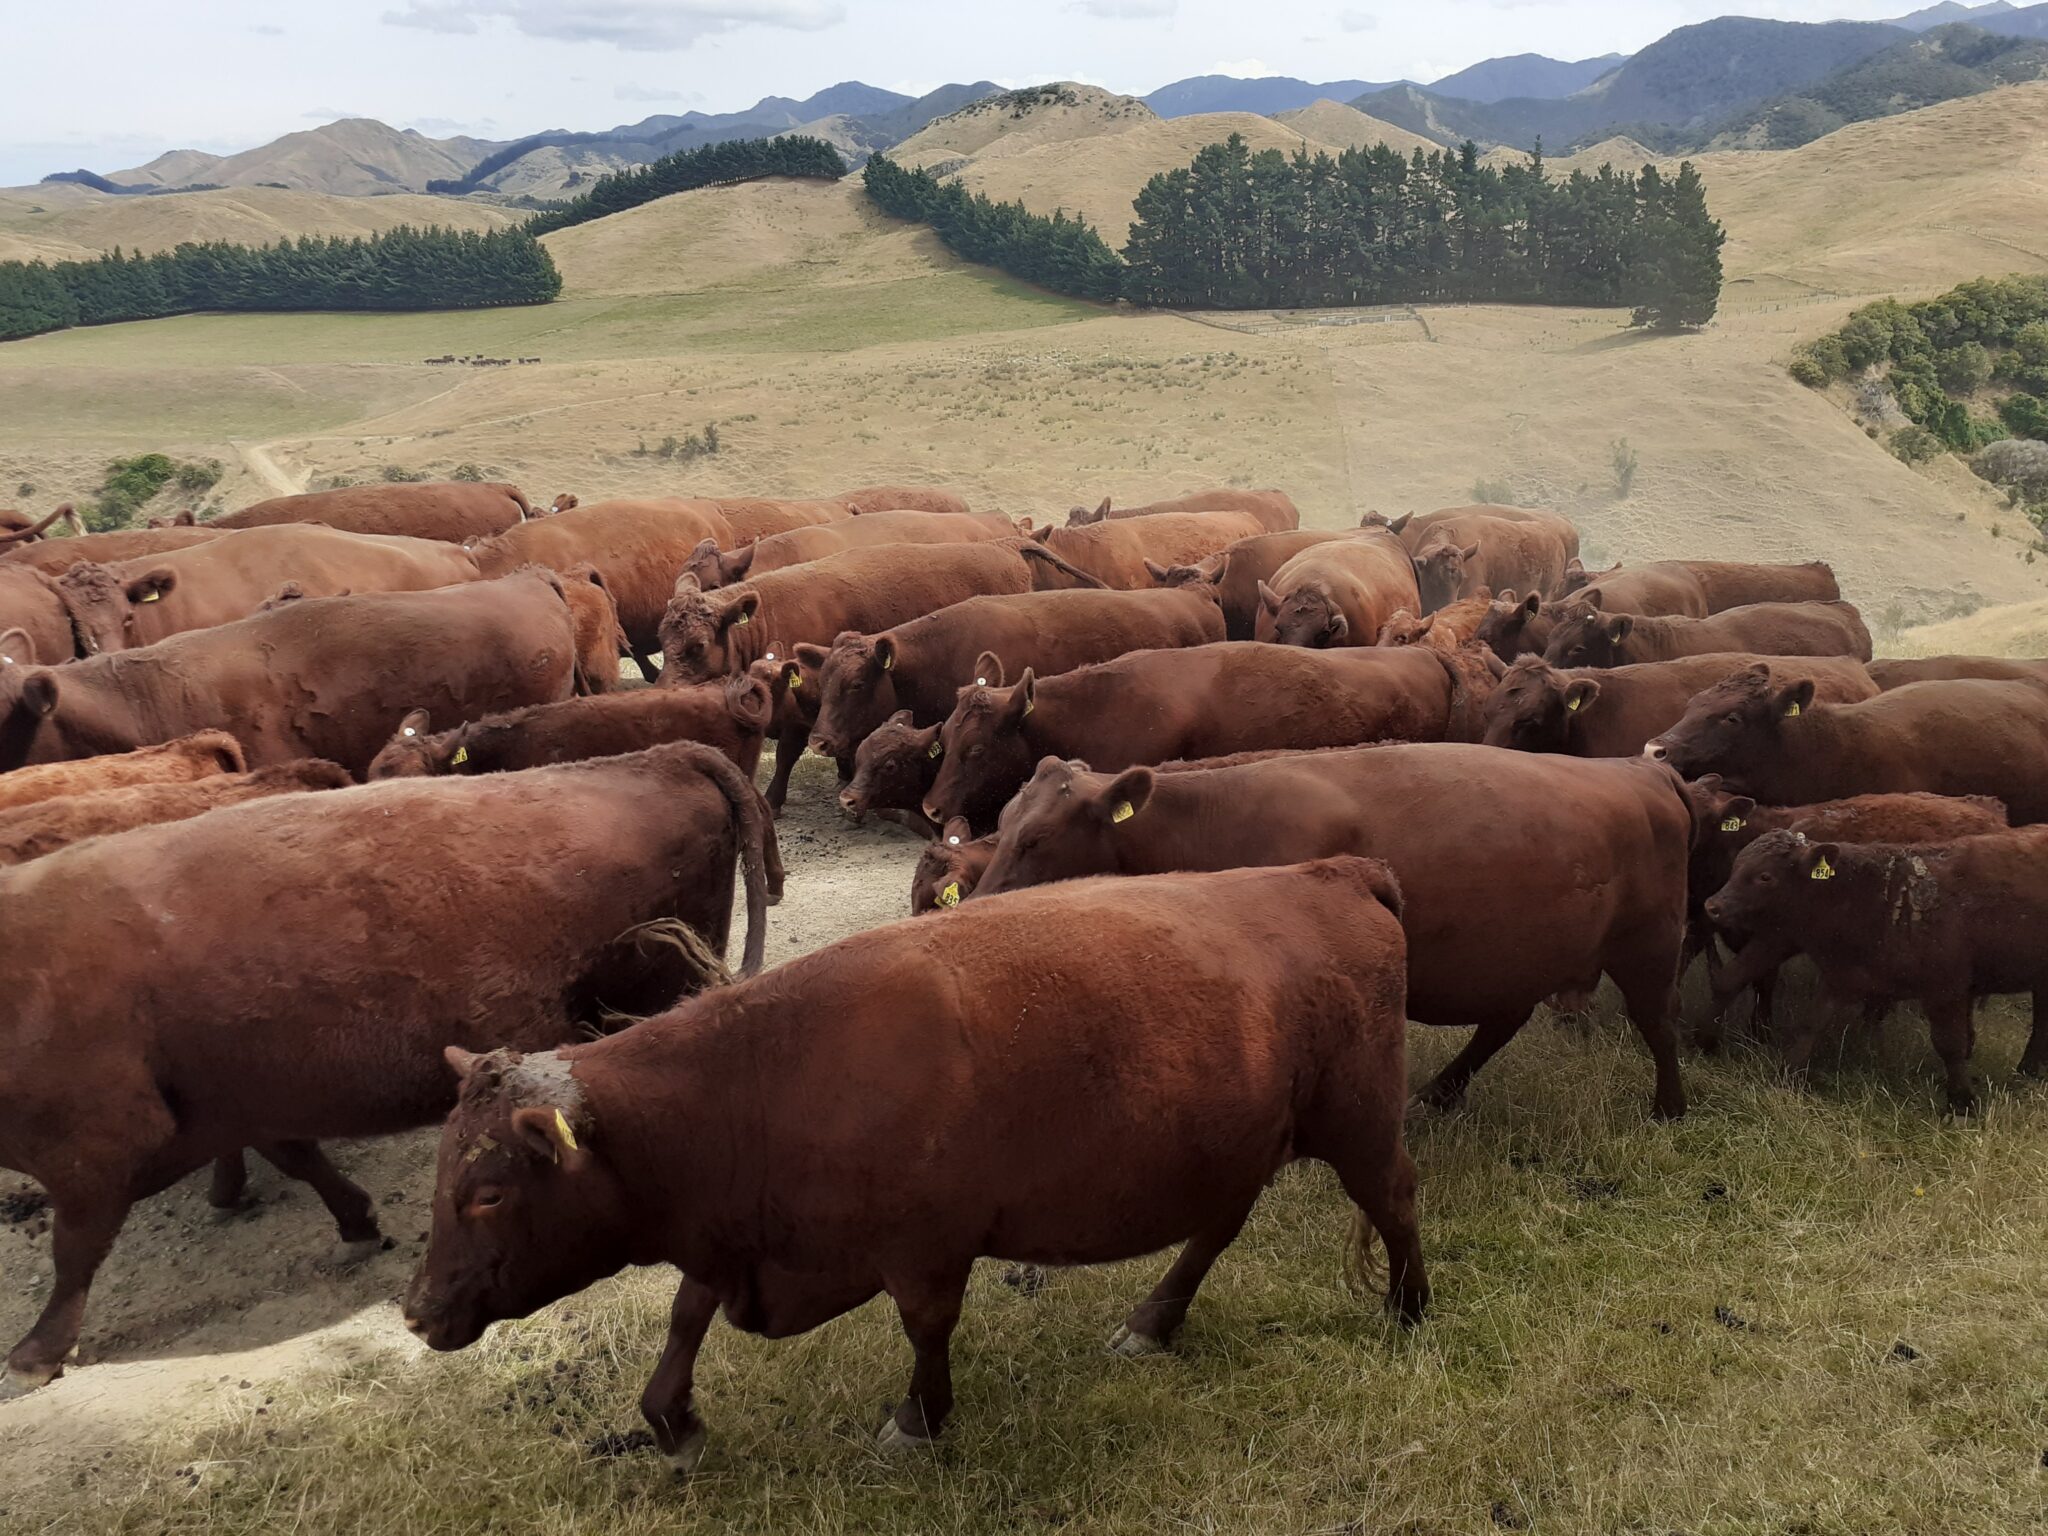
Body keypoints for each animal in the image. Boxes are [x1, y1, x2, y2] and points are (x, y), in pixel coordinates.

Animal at [400, 857, 1422, 1463]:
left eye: (486, 1192)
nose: (417, 1313)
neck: (763, 1079)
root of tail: (1328, 873)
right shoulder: (733, 1235)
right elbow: (687, 1315)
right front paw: (671, 1420)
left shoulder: (926, 1245)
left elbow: (926, 1330)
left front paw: (916, 1421)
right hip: (1238, 1139)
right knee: (1220, 1224)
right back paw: (1153, 1320)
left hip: (1359, 1118)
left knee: (1396, 1198)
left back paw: (1409, 1312)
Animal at [969, 746, 1692, 1119]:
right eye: (1002, 823)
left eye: (1036, 838)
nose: (972, 910)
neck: (1215, 818)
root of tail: (1645, 770)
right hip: (1521, 957)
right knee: (1501, 1023)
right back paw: (1438, 1095)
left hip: (1650, 946)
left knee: (1659, 1025)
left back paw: (1670, 1106)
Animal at [1703, 827, 2048, 1114]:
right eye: (1736, 866)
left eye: (1765, 876)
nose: (1712, 906)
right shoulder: (1841, 975)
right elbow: (1811, 1024)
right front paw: (1787, 1075)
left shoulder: (1945, 989)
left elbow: (1950, 1045)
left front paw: (1961, 1103)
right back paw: (2029, 1070)